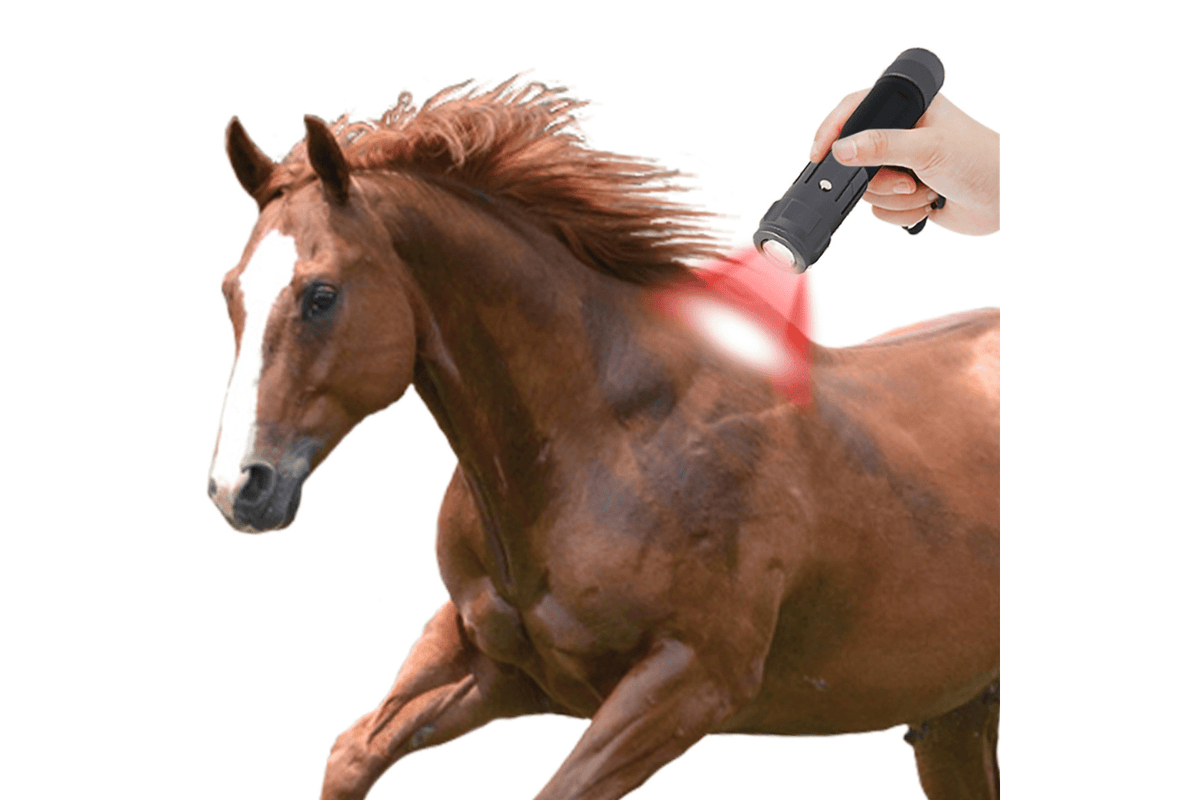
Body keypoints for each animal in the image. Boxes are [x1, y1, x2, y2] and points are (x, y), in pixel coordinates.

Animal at [207, 80, 999, 800]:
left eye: (321, 295)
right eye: (230, 292)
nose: (238, 487)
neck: (604, 444)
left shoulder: (690, 683)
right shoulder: (494, 665)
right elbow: (349, 754)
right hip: (953, 717)